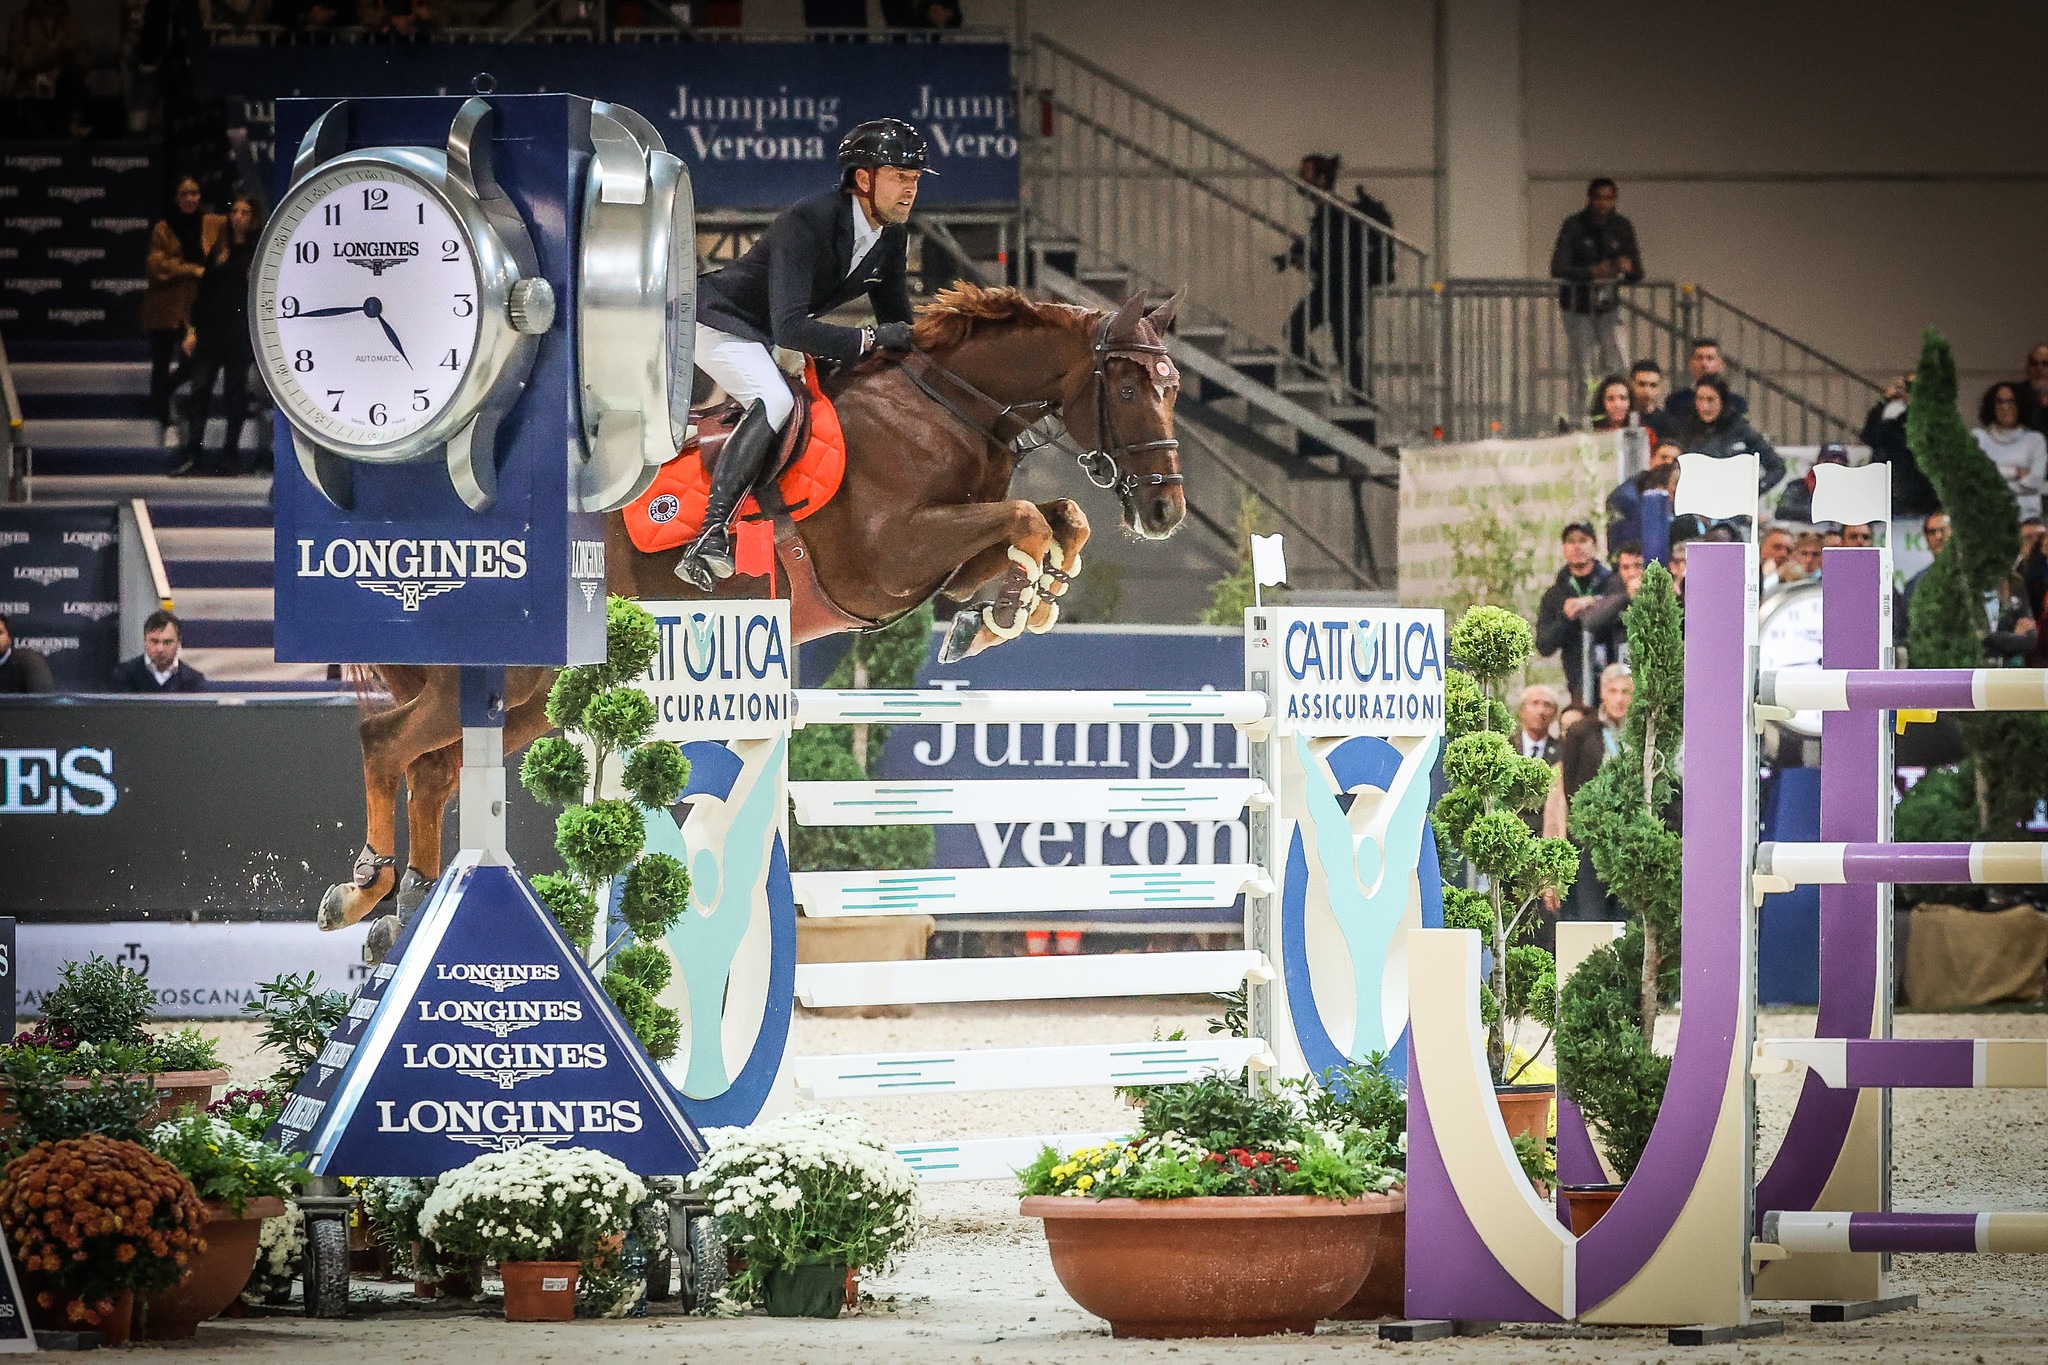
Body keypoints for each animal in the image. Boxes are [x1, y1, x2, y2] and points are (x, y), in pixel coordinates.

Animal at [318, 283, 1188, 935]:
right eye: (1128, 387)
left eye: (1173, 390)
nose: (1165, 511)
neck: (948, 406)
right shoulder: (890, 557)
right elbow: (1029, 518)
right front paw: (1014, 606)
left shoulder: (933, 564)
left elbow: (1054, 521)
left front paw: (1010, 608)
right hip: (507, 678)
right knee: (384, 741)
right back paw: (364, 889)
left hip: (533, 696)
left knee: (433, 771)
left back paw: (406, 902)